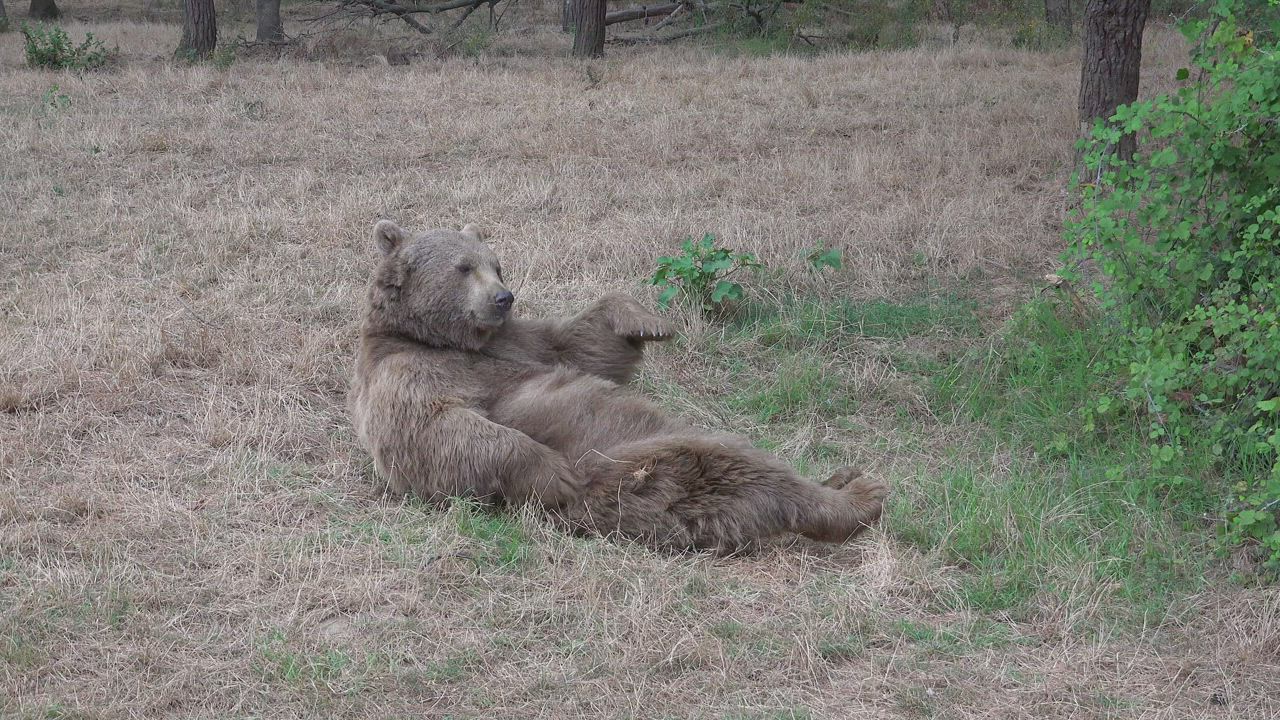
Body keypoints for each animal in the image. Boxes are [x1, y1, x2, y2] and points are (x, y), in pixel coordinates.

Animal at [349, 220, 888, 553]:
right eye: (463, 267)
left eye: (496, 263)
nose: (503, 297)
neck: (444, 338)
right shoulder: (409, 371)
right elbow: (434, 431)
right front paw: (550, 471)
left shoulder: (523, 342)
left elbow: (582, 346)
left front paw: (648, 321)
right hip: (641, 469)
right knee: (740, 469)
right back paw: (860, 495)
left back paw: (843, 479)